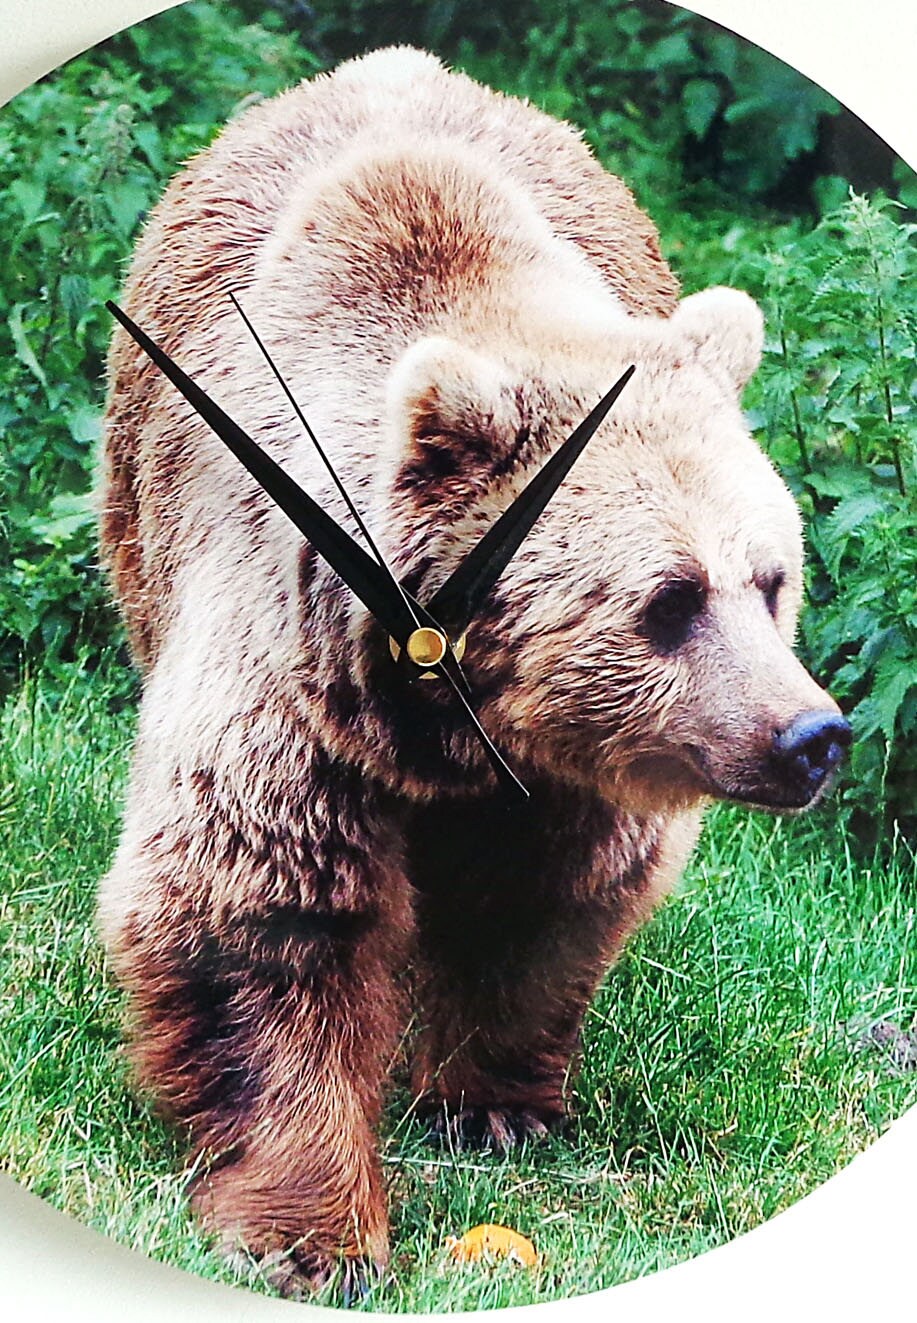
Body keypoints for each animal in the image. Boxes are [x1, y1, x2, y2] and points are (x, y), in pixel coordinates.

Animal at [98, 46, 850, 1297]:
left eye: (770, 578)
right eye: (669, 600)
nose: (810, 736)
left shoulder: (578, 763)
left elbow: (534, 892)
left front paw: (491, 1106)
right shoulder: (287, 665)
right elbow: (264, 901)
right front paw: (314, 1232)